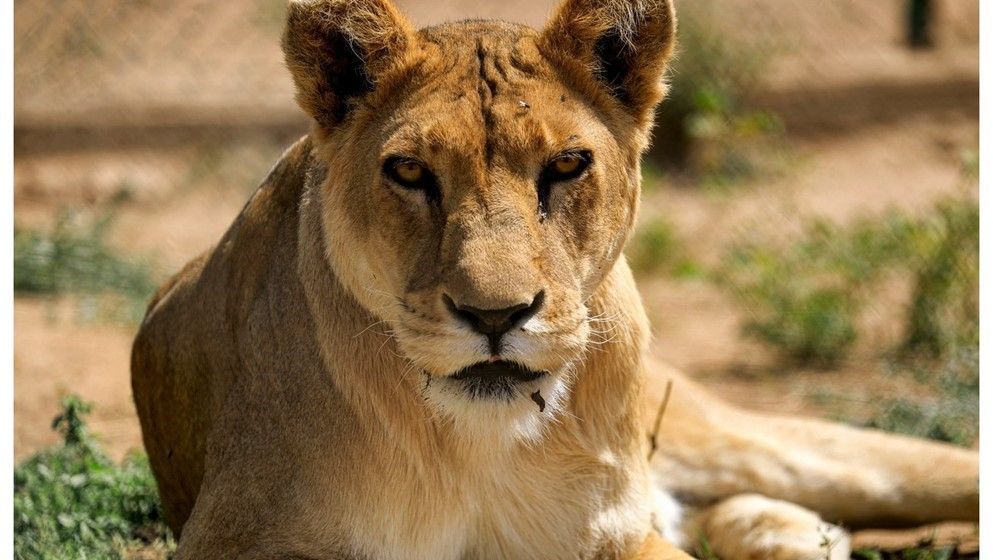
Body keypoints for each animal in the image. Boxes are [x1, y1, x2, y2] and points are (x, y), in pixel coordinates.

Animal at [130, 0, 979, 558]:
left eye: (567, 165)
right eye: (409, 172)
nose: (495, 314)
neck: (476, 448)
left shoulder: (617, 537)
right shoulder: (236, 538)